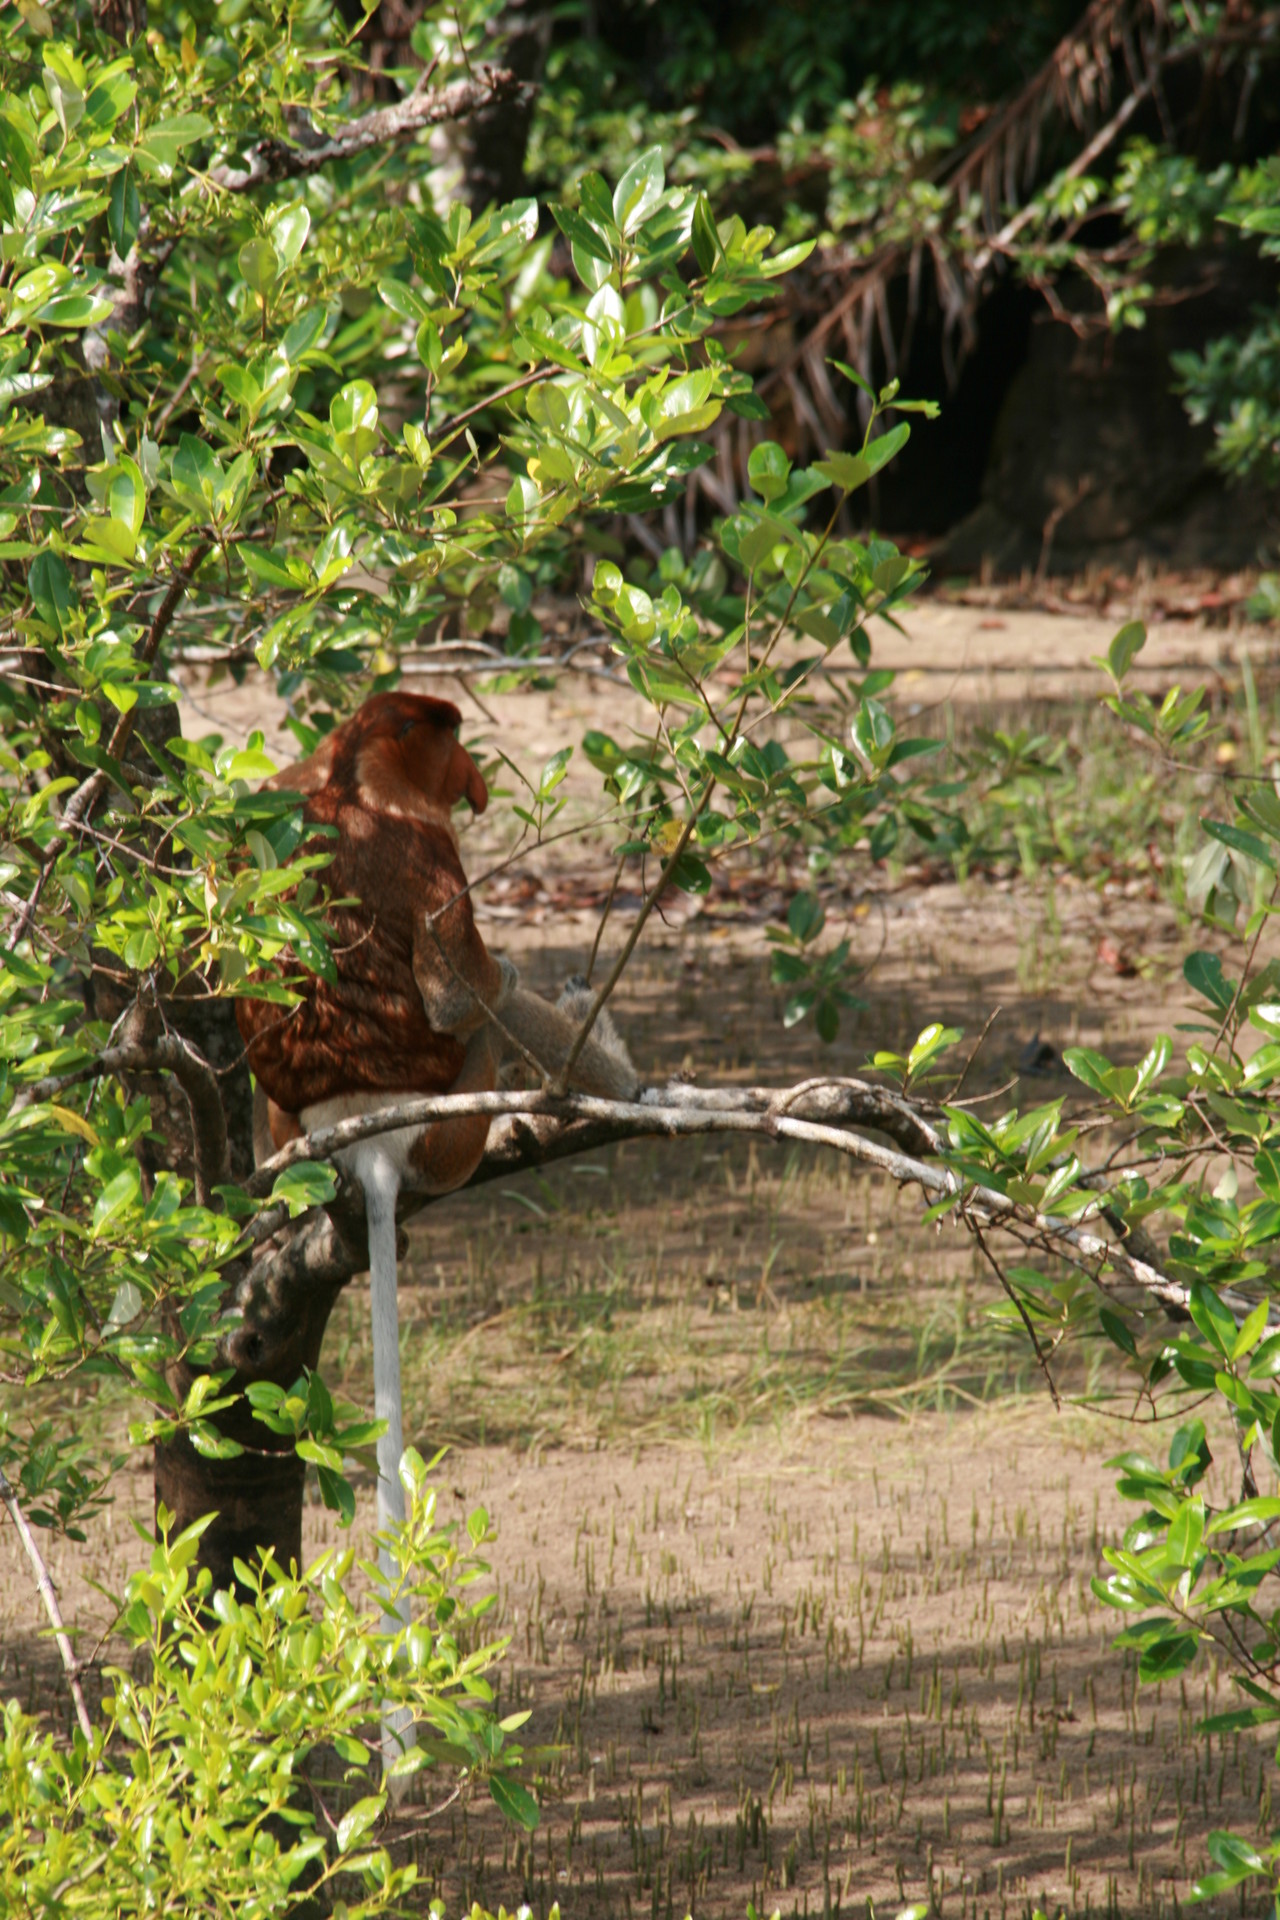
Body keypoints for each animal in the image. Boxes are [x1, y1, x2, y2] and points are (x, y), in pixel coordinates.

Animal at [235, 692, 637, 1769]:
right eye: (450, 743)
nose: (477, 782)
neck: (347, 775)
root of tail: (367, 1140)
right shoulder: (429, 852)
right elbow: (465, 990)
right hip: (452, 1117)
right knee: (488, 1011)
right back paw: (603, 1082)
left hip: (299, 1128)